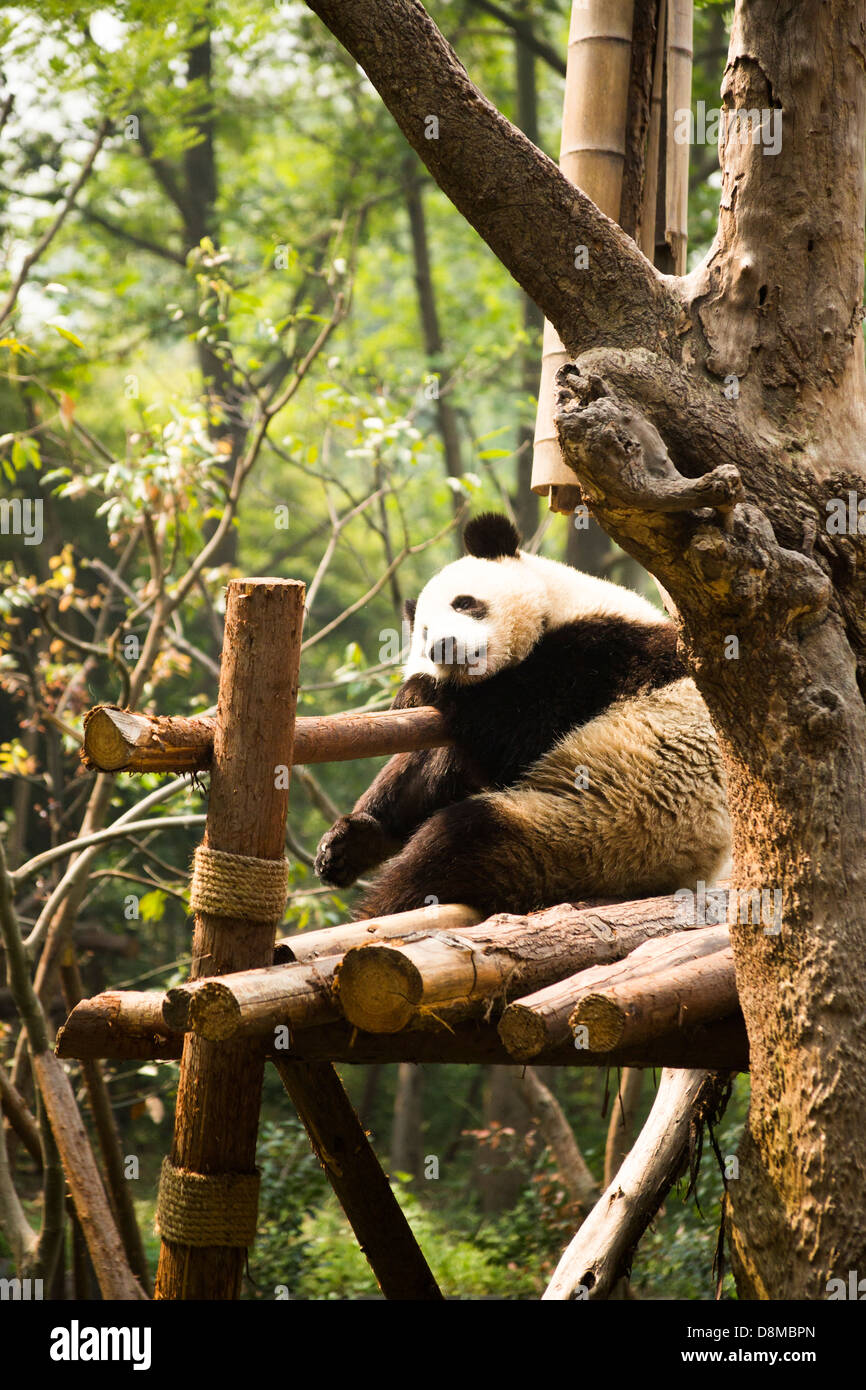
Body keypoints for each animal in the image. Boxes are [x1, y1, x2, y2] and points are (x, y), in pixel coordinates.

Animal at [314, 512, 730, 920]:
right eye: (424, 632)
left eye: (464, 602)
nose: (441, 648)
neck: (558, 604)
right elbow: (437, 767)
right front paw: (353, 840)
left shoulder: (607, 656)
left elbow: (518, 729)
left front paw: (417, 690)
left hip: (601, 835)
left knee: (459, 845)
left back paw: (383, 908)